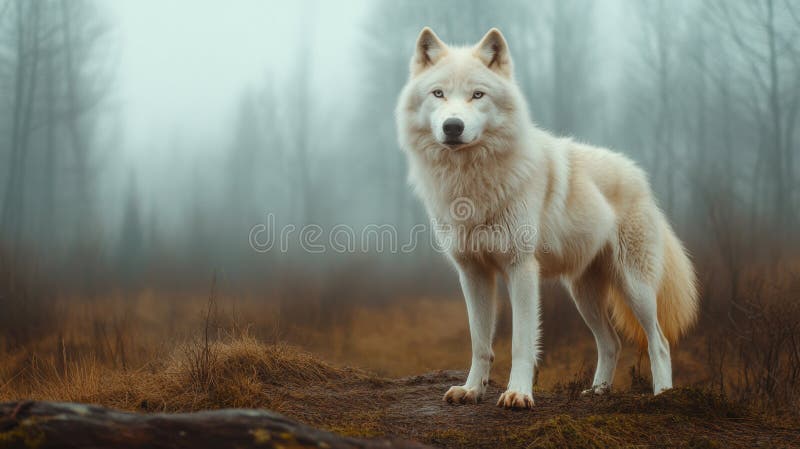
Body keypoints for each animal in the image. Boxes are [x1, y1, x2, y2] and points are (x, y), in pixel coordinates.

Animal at [395, 28, 698, 409]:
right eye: (439, 93)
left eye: (477, 94)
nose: (453, 126)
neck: (470, 180)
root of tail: (640, 178)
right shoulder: (473, 272)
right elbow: (480, 343)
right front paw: (471, 389)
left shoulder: (521, 269)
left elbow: (522, 343)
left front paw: (518, 394)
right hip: (583, 295)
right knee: (611, 342)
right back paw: (597, 391)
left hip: (635, 288)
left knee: (659, 341)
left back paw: (662, 395)